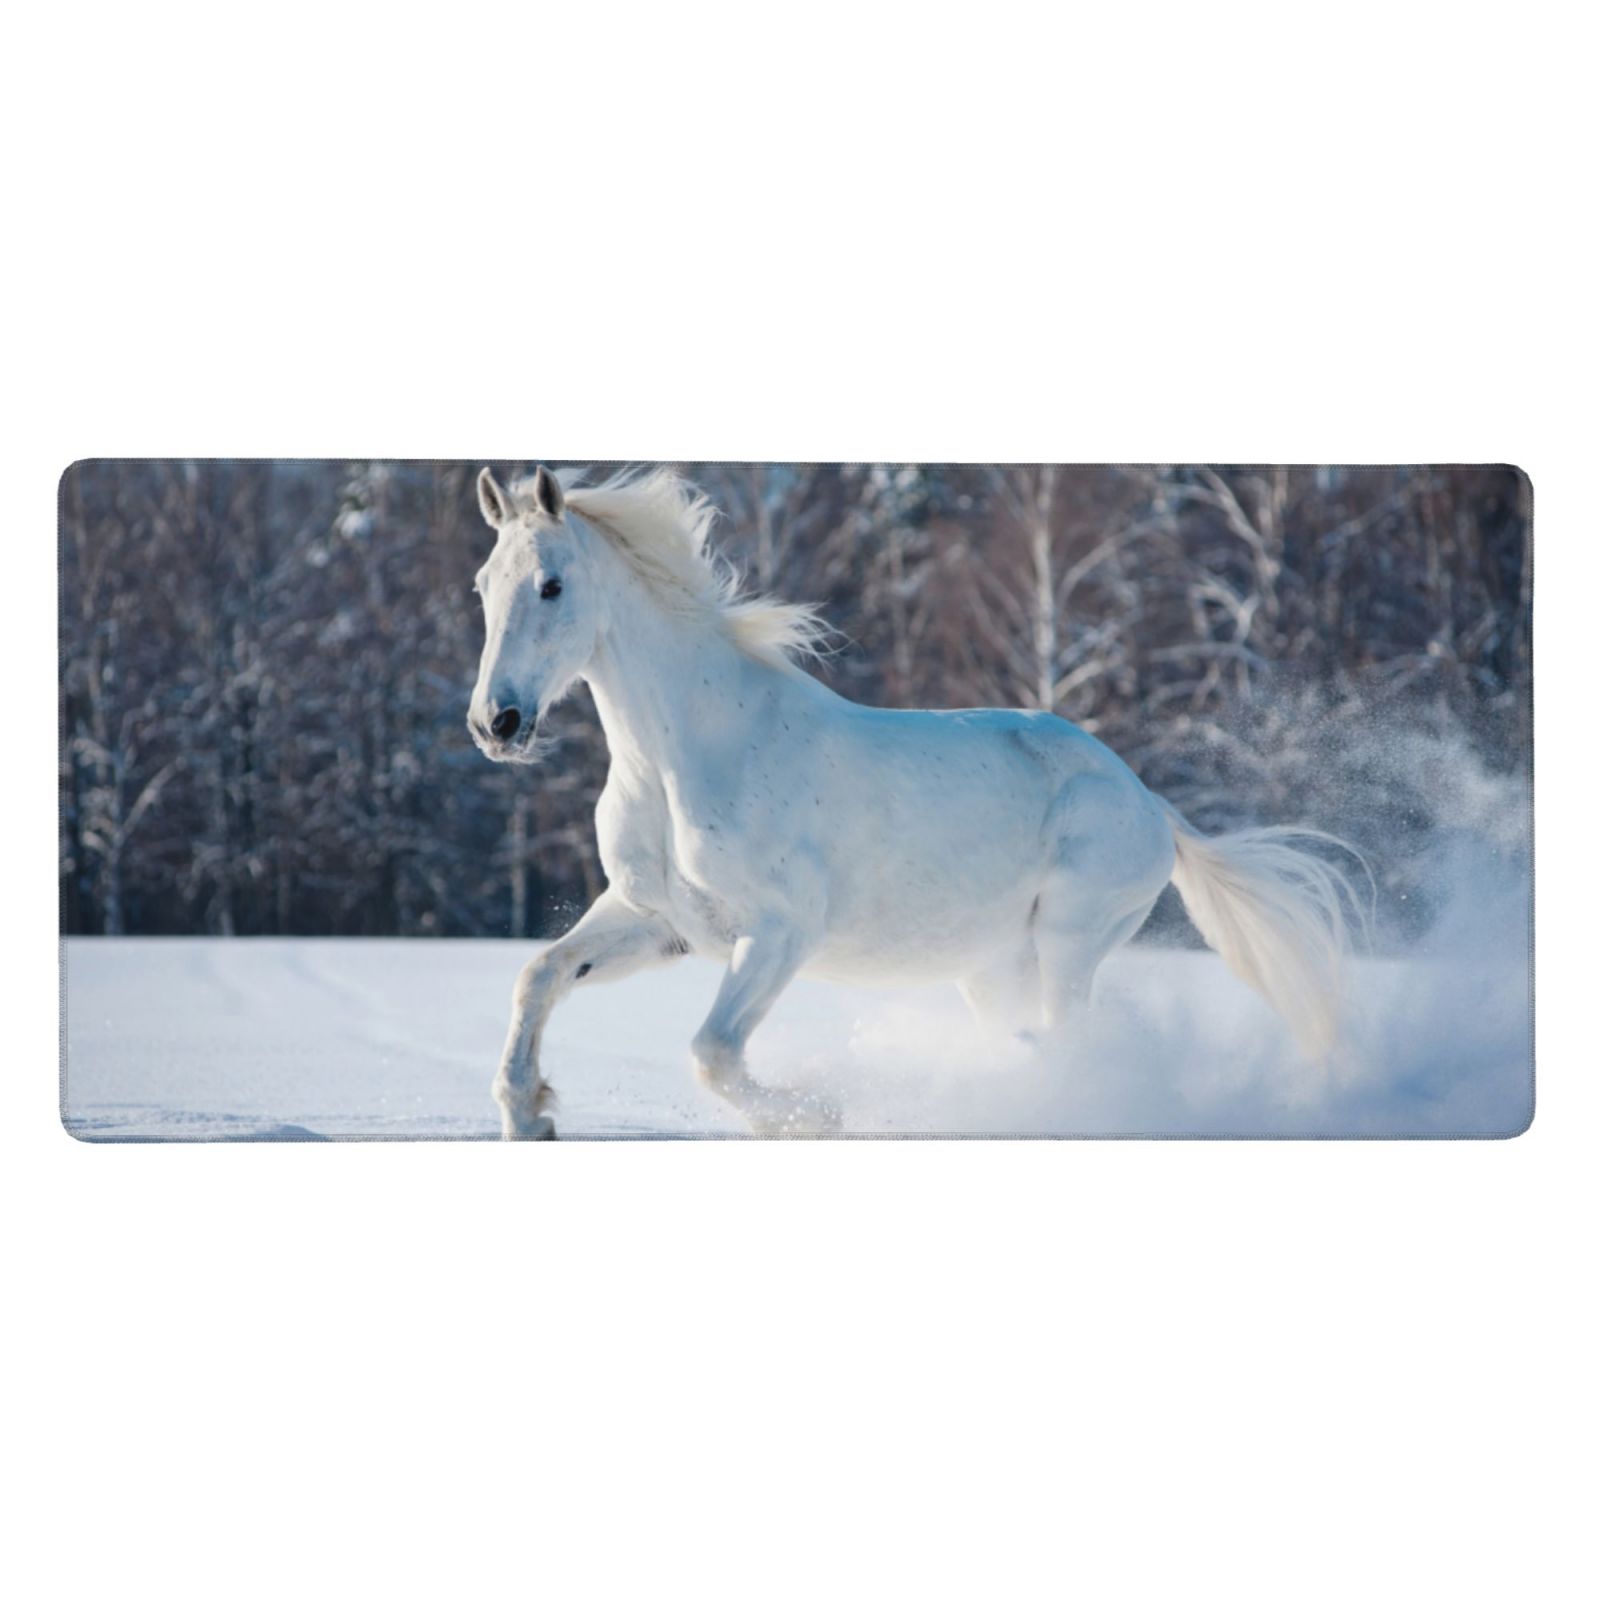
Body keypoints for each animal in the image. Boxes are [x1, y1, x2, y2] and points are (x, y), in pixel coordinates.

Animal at [467, 464, 1363, 1138]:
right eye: (482, 585)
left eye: (551, 585)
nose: (495, 723)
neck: (686, 758)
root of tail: (1150, 805)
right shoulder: (659, 922)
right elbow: (539, 976)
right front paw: (529, 1116)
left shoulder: (781, 933)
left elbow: (713, 1052)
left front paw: (816, 1117)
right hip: (994, 968)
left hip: (1071, 943)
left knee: (1069, 1043)